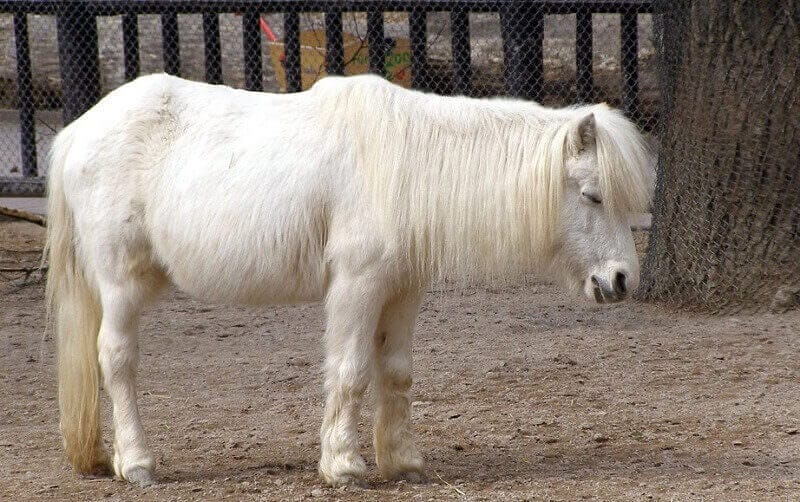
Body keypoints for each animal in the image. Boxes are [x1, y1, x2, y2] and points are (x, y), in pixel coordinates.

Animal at [45, 73, 654, 487]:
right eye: (592, 195)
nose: (622, 279)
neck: (408, 163)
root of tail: (76, 133)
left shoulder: (403, 289)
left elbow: (397, 372)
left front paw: (402, 460)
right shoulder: (357, 286)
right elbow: (351, 371)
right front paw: (342, 464)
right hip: (122, 283)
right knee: (116, 360)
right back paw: (137, 462)